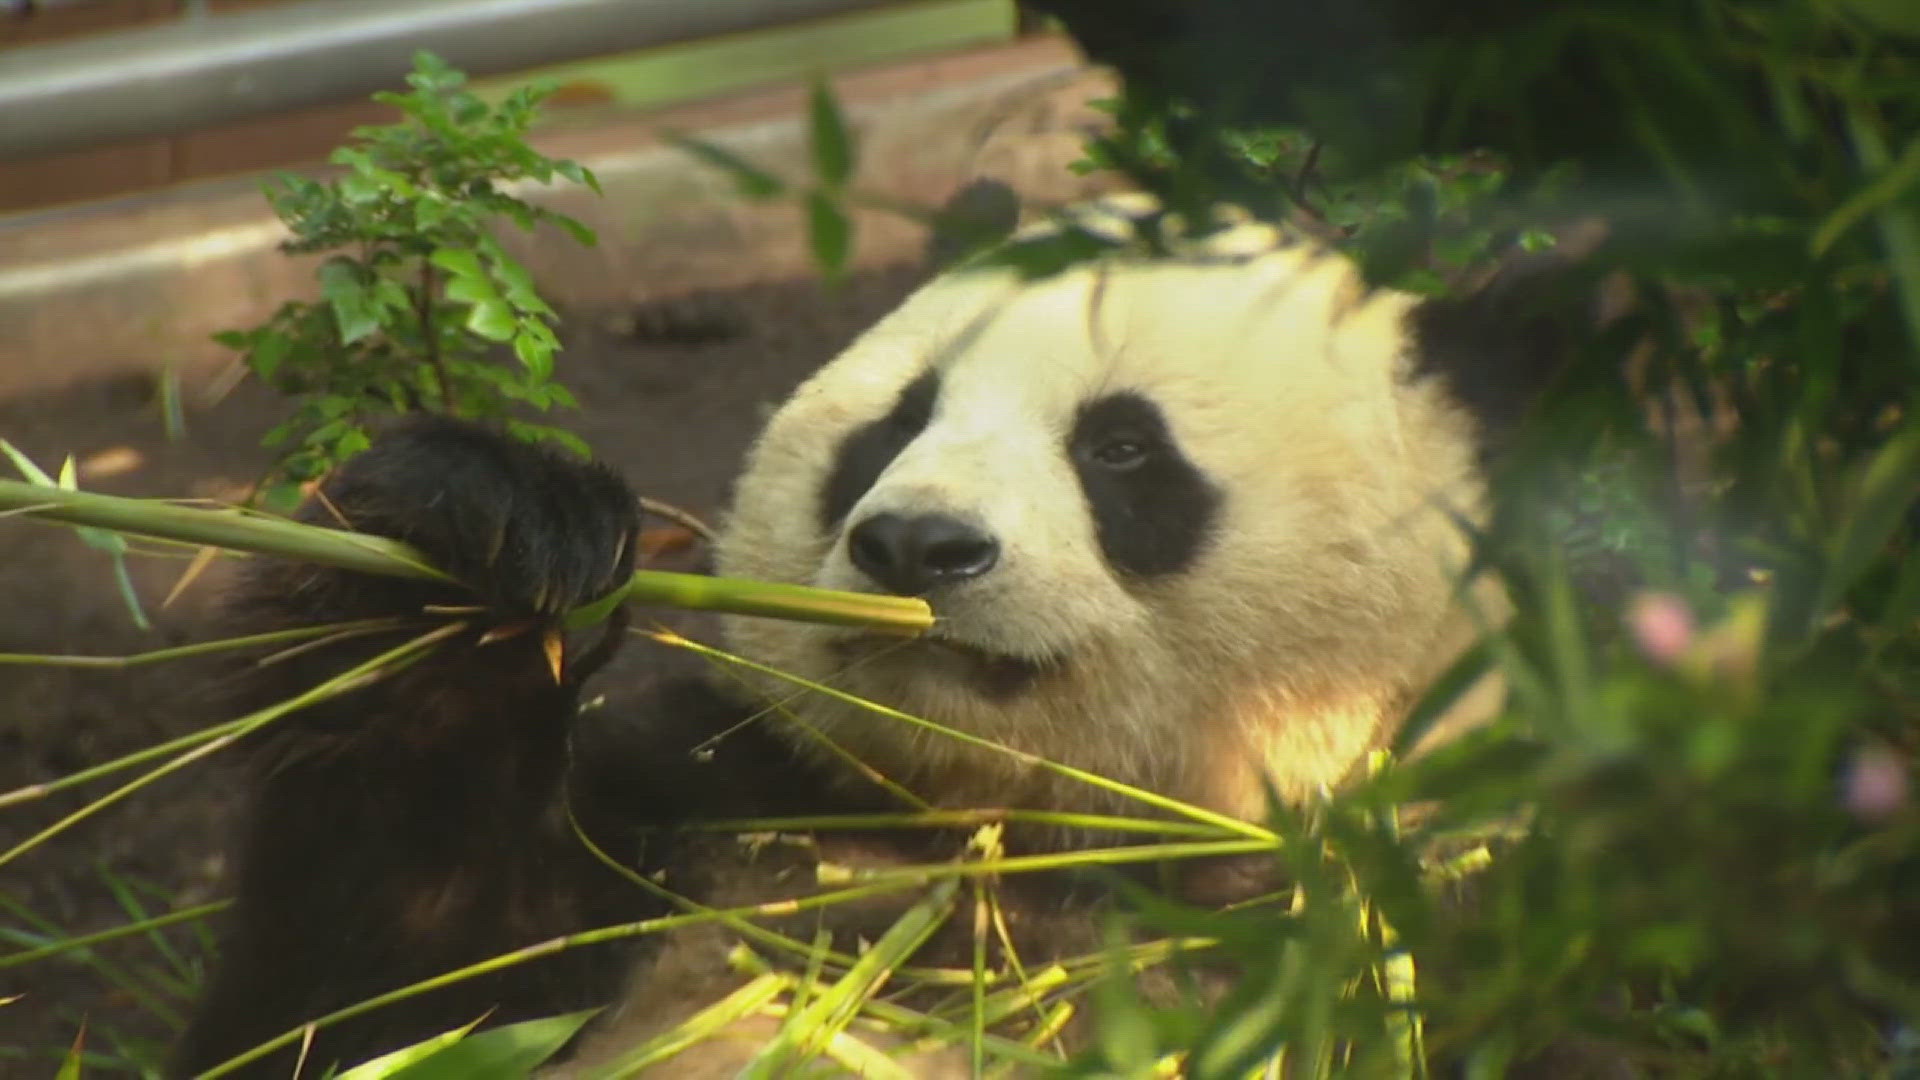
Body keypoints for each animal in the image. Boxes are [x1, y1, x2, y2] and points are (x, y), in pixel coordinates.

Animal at [169, 201, 1567, 1078]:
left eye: (1122, 447)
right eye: (894, 425)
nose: (916, 547)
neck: (995, 836)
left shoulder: (1408, 920)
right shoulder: (718, 814)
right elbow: (368, 998)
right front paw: (485, 537)